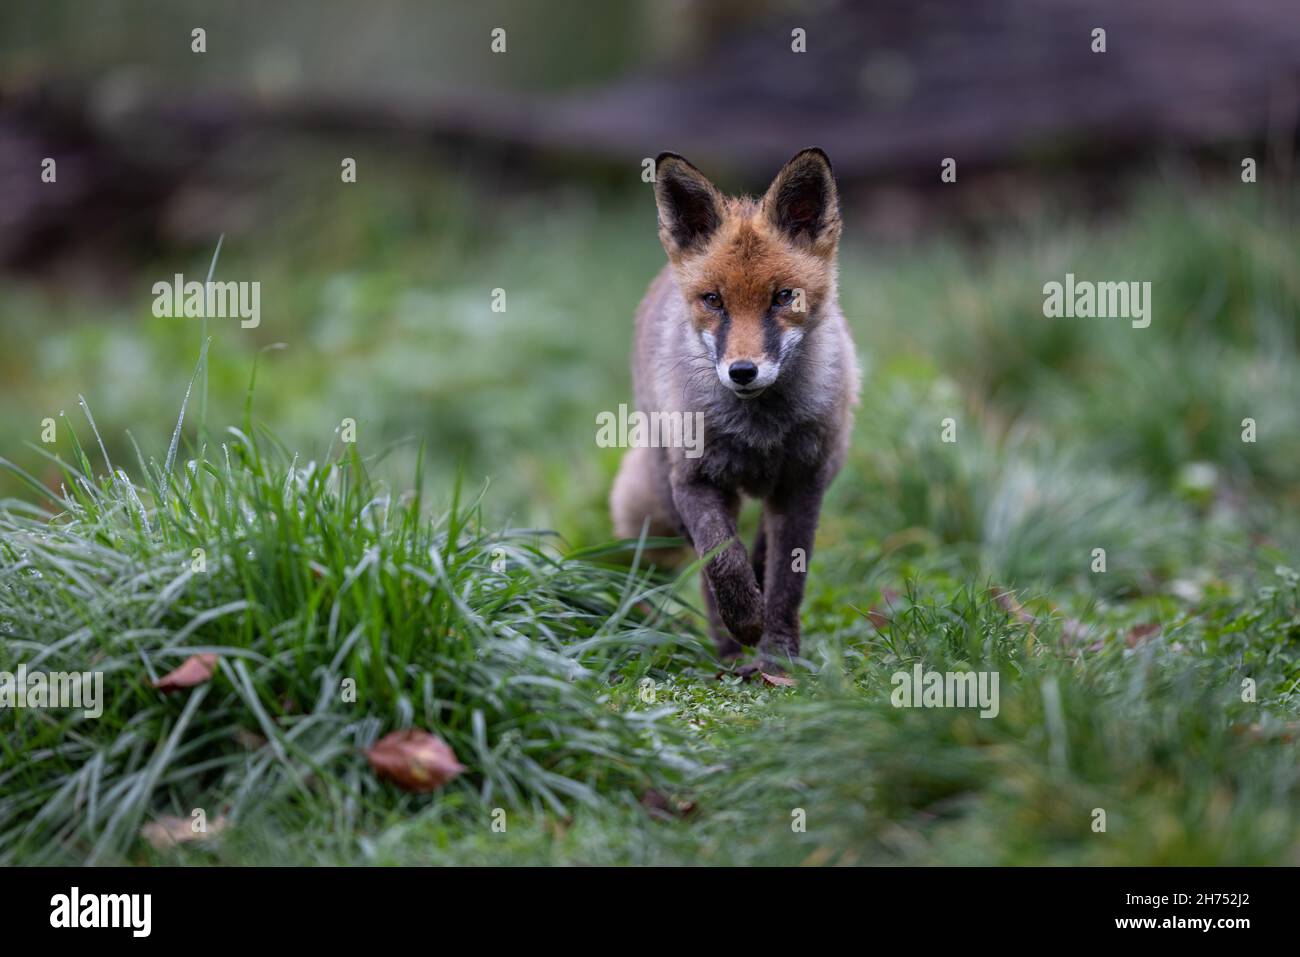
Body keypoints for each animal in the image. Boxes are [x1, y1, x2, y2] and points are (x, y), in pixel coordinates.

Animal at [610, 147, 860, 670]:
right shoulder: (693, 479)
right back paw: (726, 653)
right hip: (665, 482)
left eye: (783, 297)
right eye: (713, 300)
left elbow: (787, 577)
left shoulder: (804, 482)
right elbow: (721, 560)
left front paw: (779, 657)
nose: (743, 371)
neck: (758, 431)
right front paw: (744, 624)